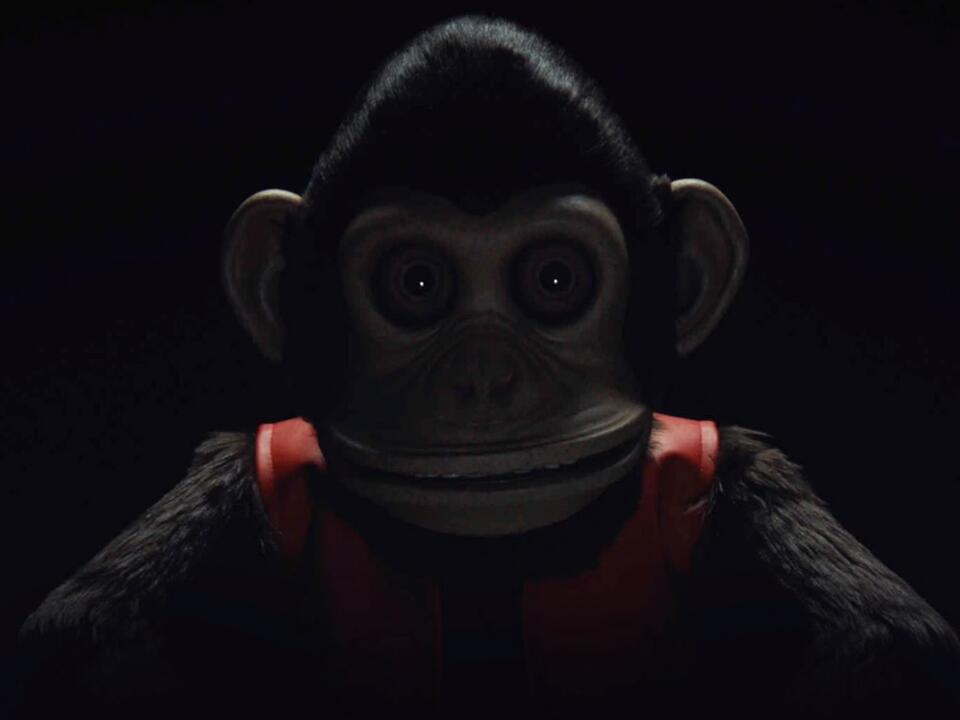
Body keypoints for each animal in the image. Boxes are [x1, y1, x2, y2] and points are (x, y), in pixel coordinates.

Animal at [16, 15, 960, 720]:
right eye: (416, 283)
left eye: (555, 279)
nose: (482, 381)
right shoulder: (256, 466)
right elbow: (81, 633)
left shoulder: (720, 463)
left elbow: (892, 642)